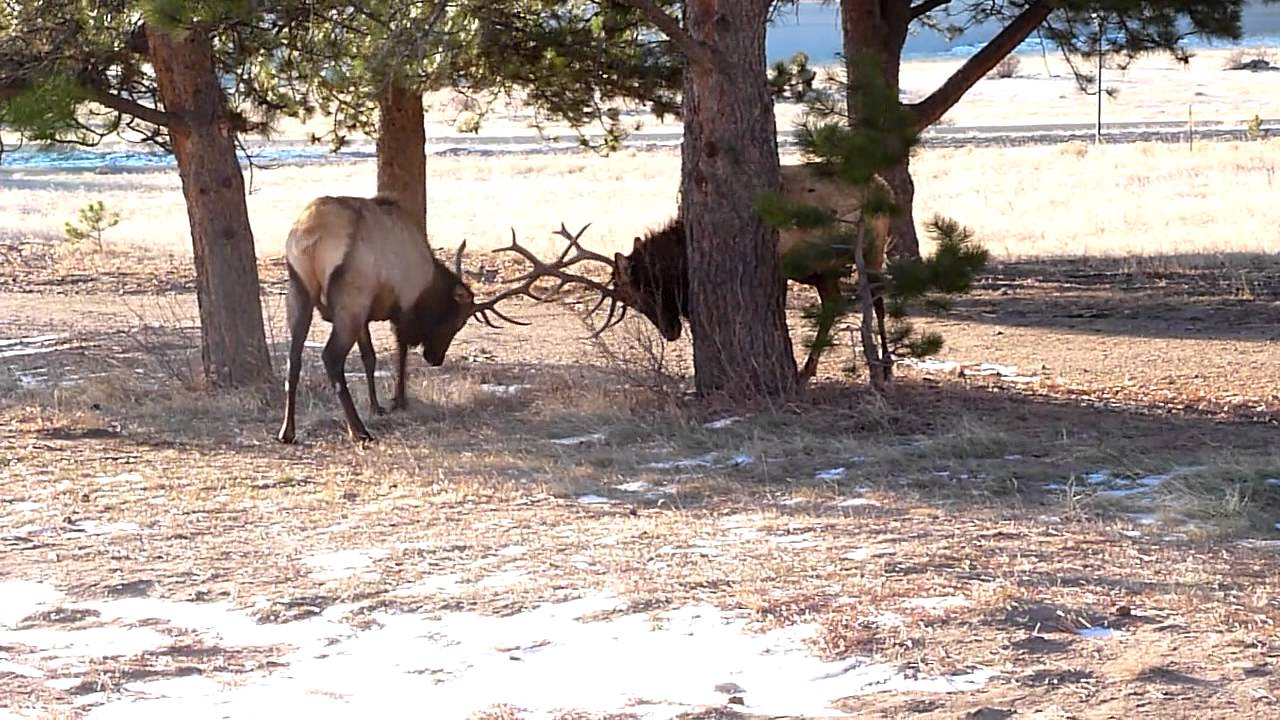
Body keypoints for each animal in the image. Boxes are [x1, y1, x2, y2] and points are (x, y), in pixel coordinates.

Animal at [277, 195, 540, 444]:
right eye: (458, 322)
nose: (435, 358)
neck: (427, 283)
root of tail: (311, 237)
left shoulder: (368, 315)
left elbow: (369, 358)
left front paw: (377, 406)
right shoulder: (403, 304)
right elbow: (401, 352)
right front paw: (399, 400)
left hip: (299, 287)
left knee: (293, 359)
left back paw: (287, 431)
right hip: (351, 297)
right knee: (331, 357)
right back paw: (359, 431)